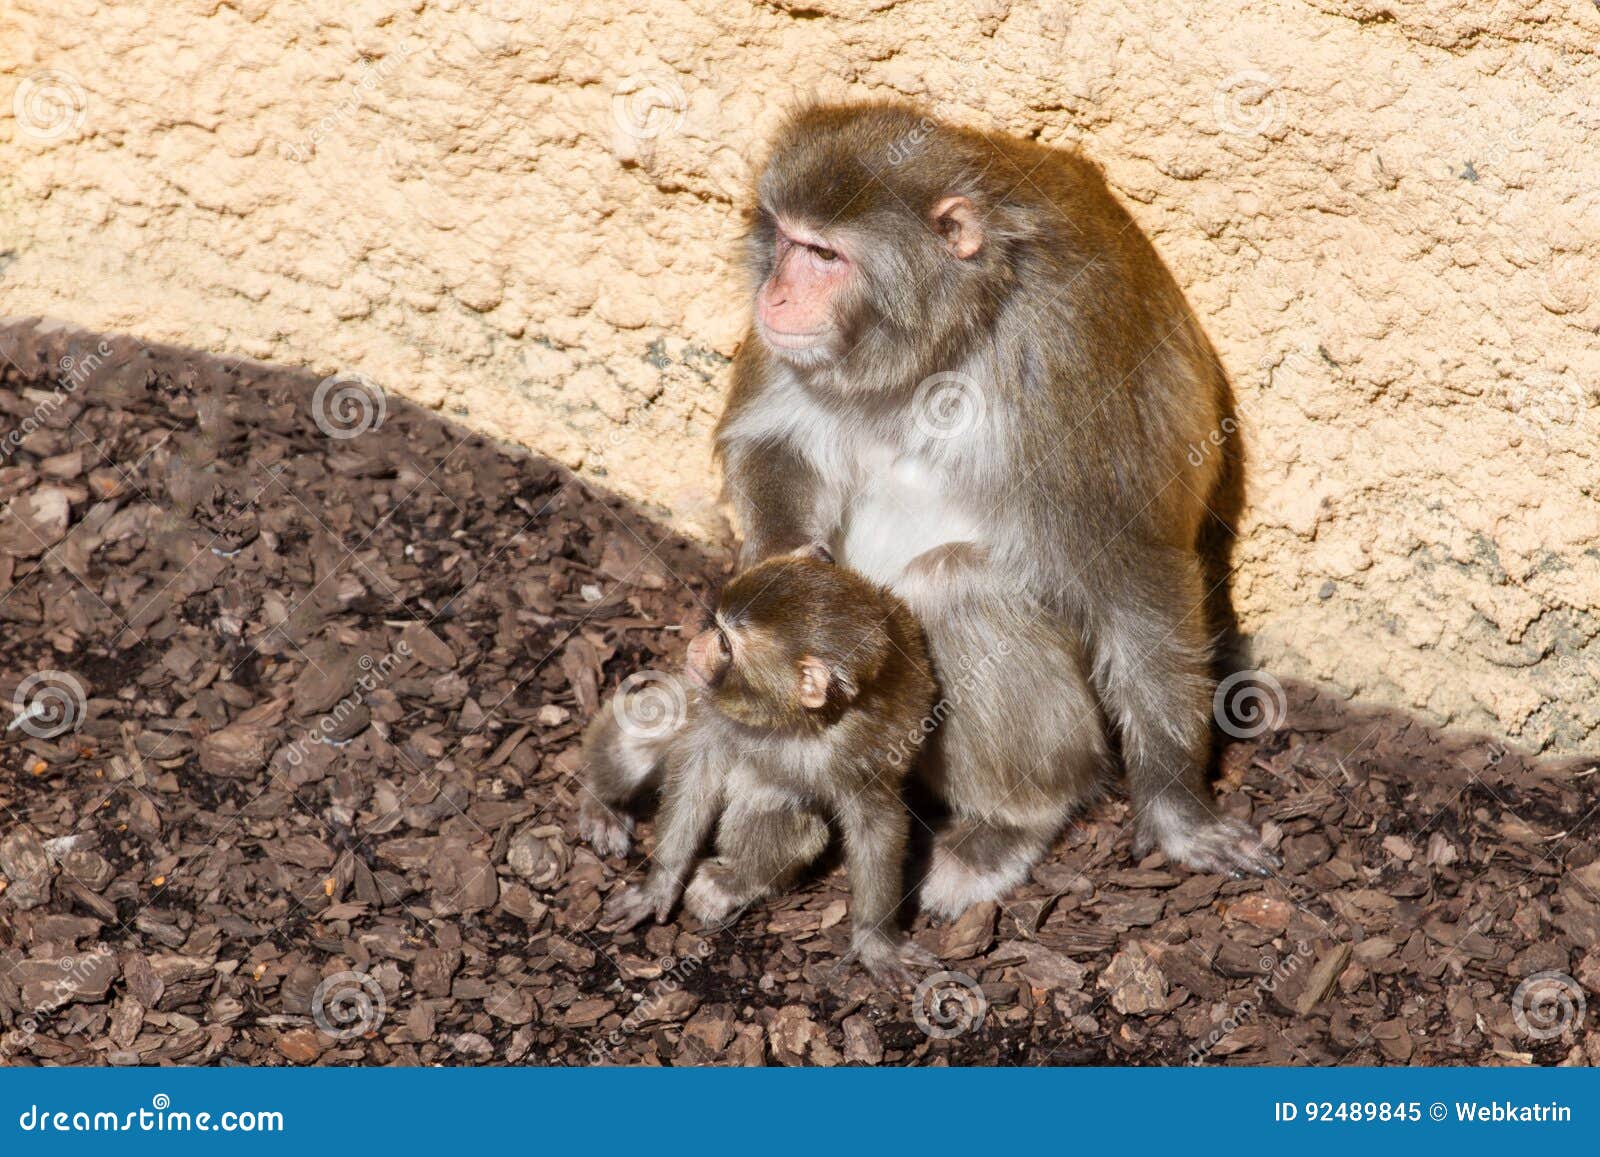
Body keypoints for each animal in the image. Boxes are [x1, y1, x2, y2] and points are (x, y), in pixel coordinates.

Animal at [581, 546, 941, 984]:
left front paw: (876, 940)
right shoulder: (714, 707)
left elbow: (876, 826)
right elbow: (696, 767)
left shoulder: (858, 752)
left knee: (769, 800)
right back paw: (602, 807)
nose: (696, 645)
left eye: (724, 643)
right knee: (645, 739)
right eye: (715, 625)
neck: (793, 720)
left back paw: (733, 883)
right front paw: (660, 882)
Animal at [712, 102, 1279, 919]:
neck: (955, 333)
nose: (775, 297)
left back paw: (1012, 823)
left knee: (953, 583)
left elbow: (1133, 575)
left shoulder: (1068, 349)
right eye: (787, 239)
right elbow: (768, 439)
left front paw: (1179, 813)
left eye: (824, 255)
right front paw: (788, 562)